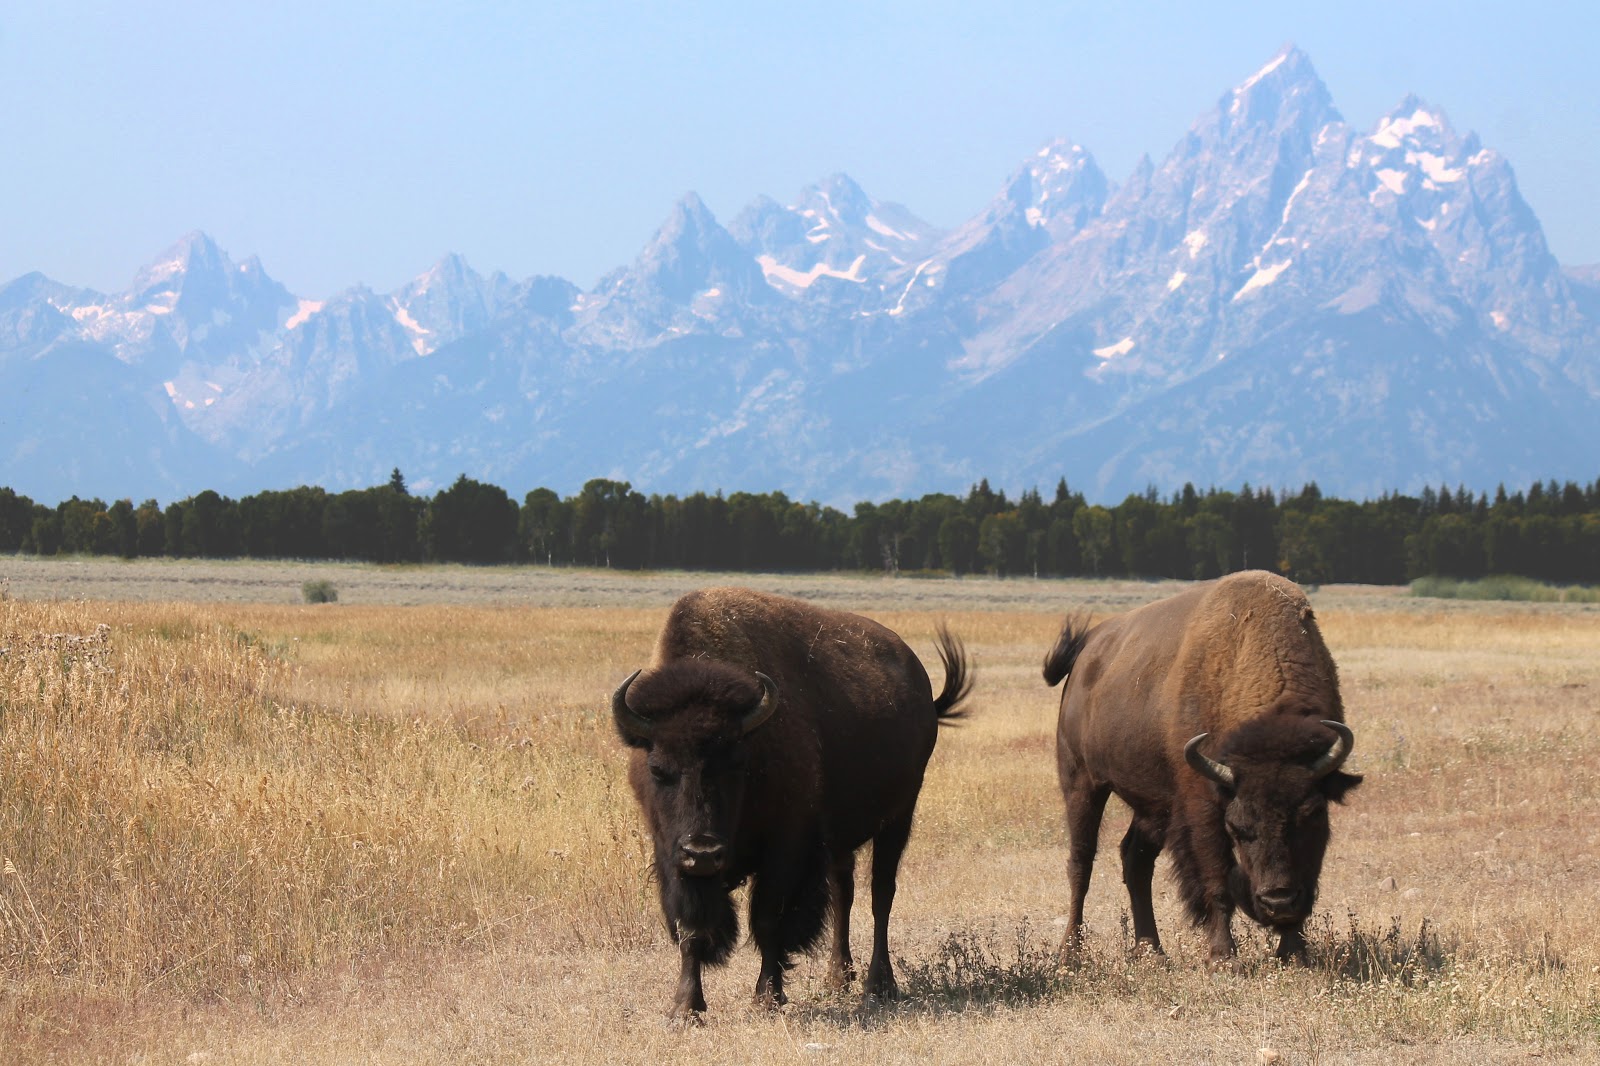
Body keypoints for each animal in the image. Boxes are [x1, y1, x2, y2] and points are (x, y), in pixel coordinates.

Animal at [612, 586, 971, 1019]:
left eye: (738, 763)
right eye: (657, 768)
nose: (703, 852)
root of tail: (921, 688)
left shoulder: (785, 848)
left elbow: (770, 920)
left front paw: (767, 997)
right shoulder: (671, 855)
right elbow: (691, 928)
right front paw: (686, 1008)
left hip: (898, 817)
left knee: (881, 895)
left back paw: (878, 986)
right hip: (841, 840)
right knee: (844, 892)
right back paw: (838, 978)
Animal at [1043, 570, 1360, 965]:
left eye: (1312, 816)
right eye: (1236, 828)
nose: (1277, 901)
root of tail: (1088, 650)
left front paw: (1293, 953)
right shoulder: (1204, 805)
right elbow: (1216, 879)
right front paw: (1222, 957)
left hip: (1152, 805)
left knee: (1136, 860)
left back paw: (1151, 950)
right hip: (1082, 783)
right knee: (1081, 863)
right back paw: (1070, 953)